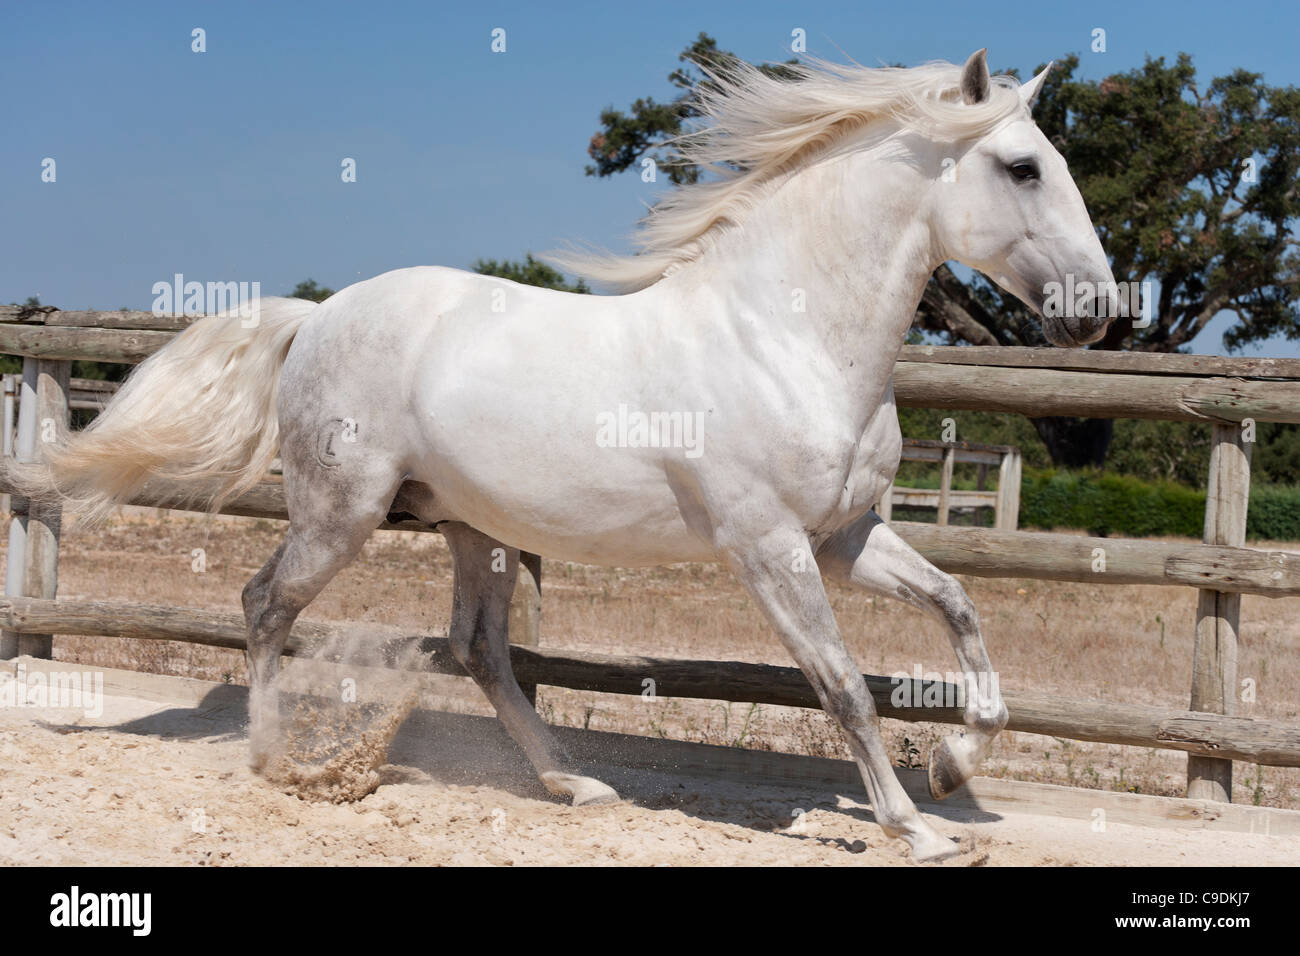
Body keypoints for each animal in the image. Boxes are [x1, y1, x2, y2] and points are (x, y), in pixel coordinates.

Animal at [19, 49, 1116, 861]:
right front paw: (918, 827)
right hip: (342, 513)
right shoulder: (768, 546)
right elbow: (841, 682)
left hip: (470, 528)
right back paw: (272, 760)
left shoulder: (844, 536)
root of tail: (318, 315)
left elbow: (959, 607)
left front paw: (953, 765)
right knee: (264, 606)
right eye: (1023, 168)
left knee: (477, 649)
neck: (787, 334)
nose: (1098, 310)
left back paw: (575, 782)